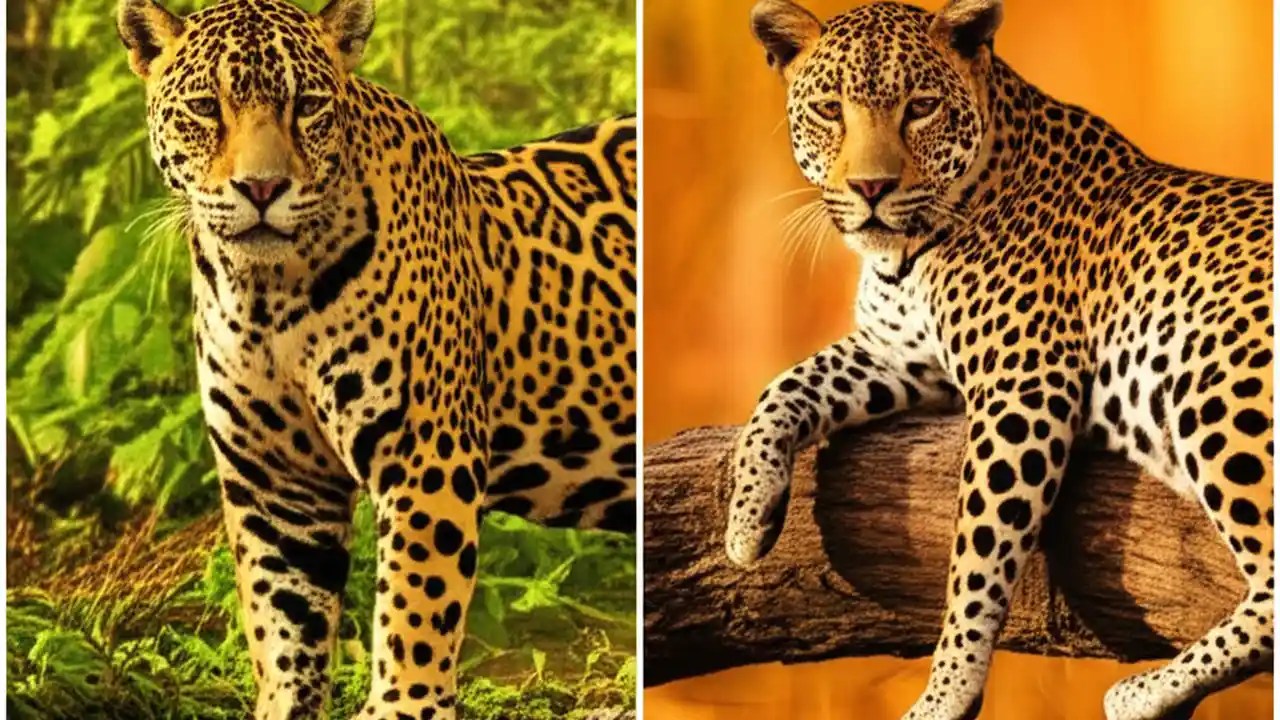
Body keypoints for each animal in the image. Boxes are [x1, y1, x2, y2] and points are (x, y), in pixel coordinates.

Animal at [116, 1, 635, 718]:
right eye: (203, 107)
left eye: (307, 106)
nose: (262, 188)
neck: (266, 295)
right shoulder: (280, 486)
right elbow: (283, 625)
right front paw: (282, 703)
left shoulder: (425, 455)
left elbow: (417, 603)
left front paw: (405, 705)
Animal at [727, 1, 1273, 718]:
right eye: (828, 109)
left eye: (921, 107)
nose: (871, 187)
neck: (903, 255)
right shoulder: (898, 356)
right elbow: (782, 386)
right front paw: (747, 521)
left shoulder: (1022, 391)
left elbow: (976, 559)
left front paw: (946, 693)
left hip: (1219, 387)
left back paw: (1147, 690)